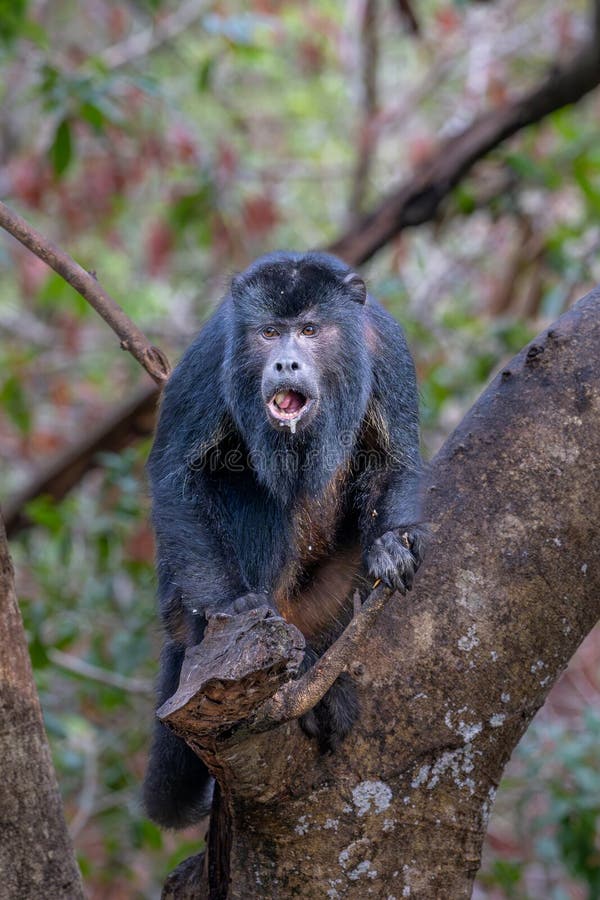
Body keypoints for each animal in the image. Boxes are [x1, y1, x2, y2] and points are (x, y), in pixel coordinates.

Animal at [142, 251, 426, 829]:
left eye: (310, 330)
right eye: (269, 333)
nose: (286, 364)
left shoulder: (385, 346)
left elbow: (394, 460)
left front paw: (390, 545)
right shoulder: (213, 353)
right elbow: (179, 476)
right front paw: (234, 605)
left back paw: (319, 672)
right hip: (183, 607)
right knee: (250, 494)